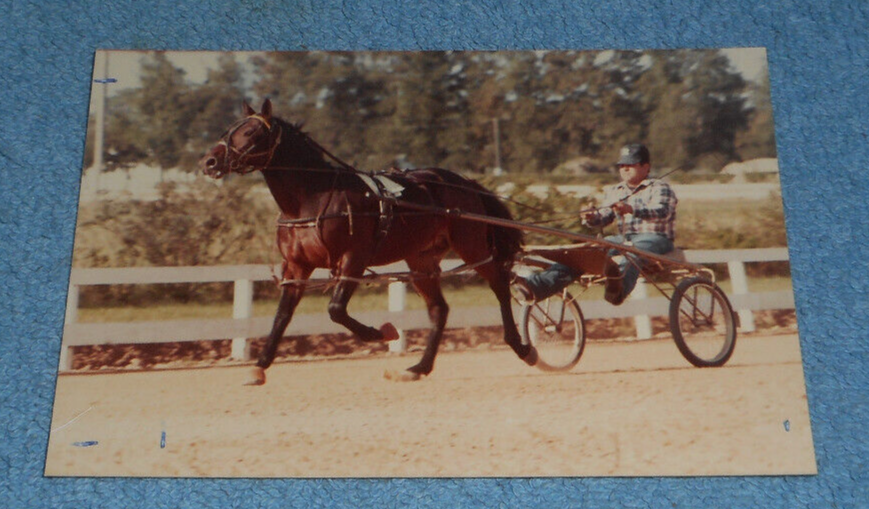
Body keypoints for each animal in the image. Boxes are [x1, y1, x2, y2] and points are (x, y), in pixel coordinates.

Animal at [199, 99, 538, 385]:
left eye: (250, 132)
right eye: (227, 130)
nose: (209, 161)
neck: (311, 199)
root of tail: (465, 182)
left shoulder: (353, 259)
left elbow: (336, 309)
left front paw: (382, 332)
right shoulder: (296, 266)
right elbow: (282, 315)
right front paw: (259, 366)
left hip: (472, 246)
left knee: (499, 284)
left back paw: (522, 347)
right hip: (421, 260)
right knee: (439, 310)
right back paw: (419, 367)